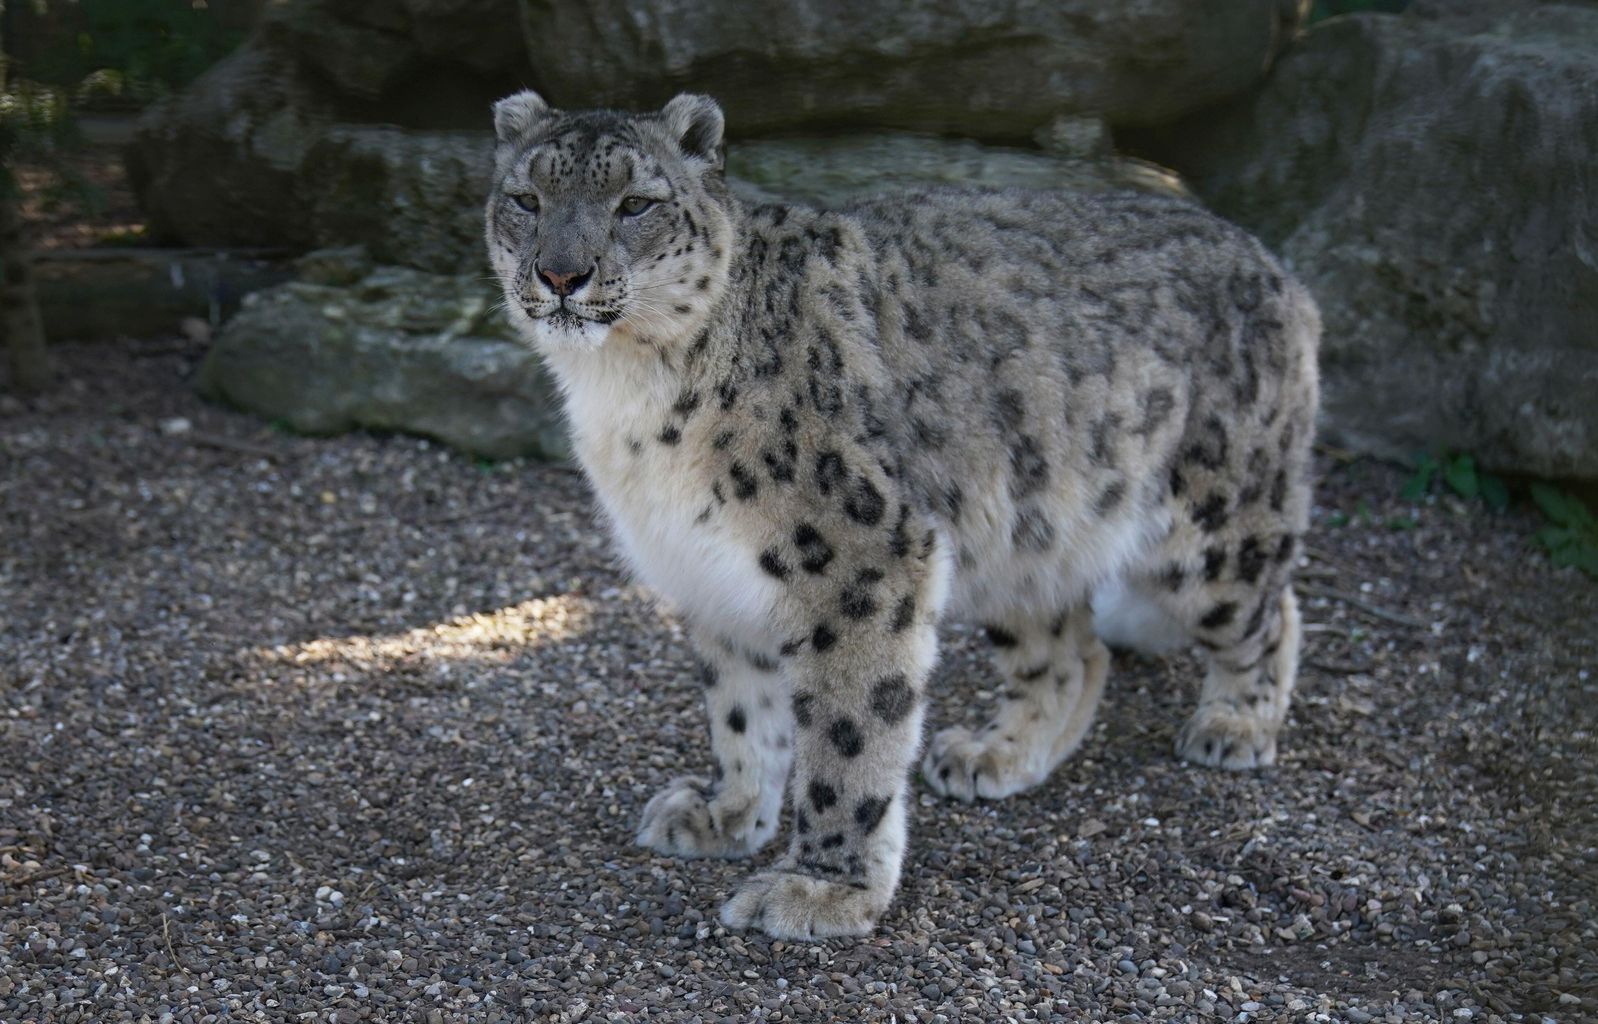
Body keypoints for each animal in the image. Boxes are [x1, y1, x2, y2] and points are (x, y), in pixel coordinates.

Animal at [484, 90, 1320, 940]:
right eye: (526, 198)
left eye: (636, 204)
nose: (561, 273)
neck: (622, 393)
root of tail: (1274, 264)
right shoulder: (706, 572)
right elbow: (742, 712)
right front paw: (728, 814)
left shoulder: (858, 559)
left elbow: (848, 734)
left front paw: (823, 887)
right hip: (1027, 541)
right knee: (1073, 652)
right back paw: (996, 754)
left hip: (1210, 531)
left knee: (1270, 608)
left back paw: (1236, 725)